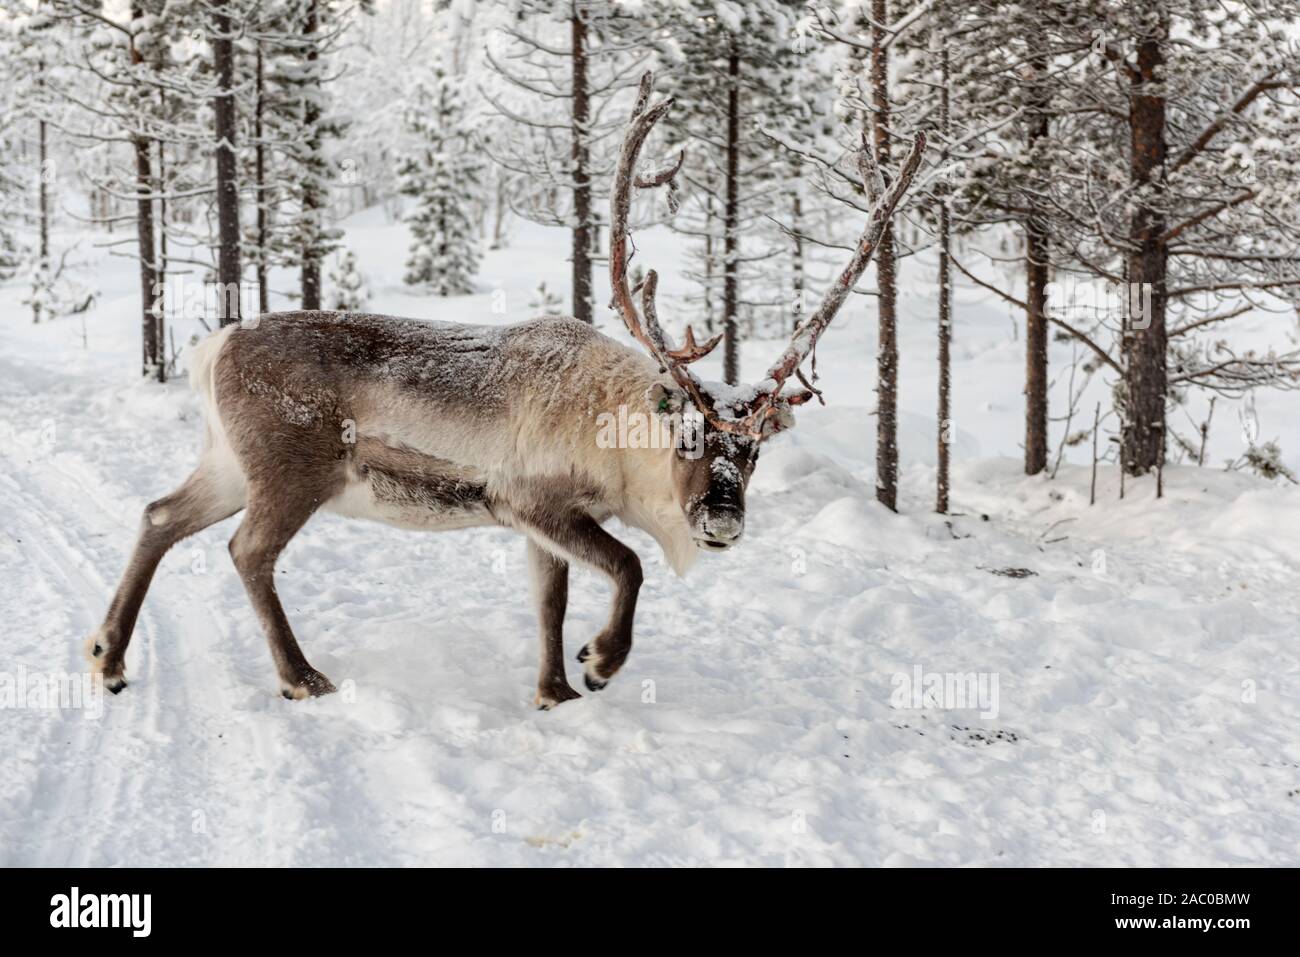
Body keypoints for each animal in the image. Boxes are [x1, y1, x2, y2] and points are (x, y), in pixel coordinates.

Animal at [85, 73, 925, 709]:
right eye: (688, 435)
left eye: (751, 451)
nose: (721, 519)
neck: (615, 433)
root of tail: (210, 348)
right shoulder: (534, 499)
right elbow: (630, 565)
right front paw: (600, 662)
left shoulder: (544, 523)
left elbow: (550, 599)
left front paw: (554, 689)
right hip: (293, 470)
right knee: (246, 549)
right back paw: (301, 676)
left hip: (231, 463)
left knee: (160, 515)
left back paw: (108, 658)